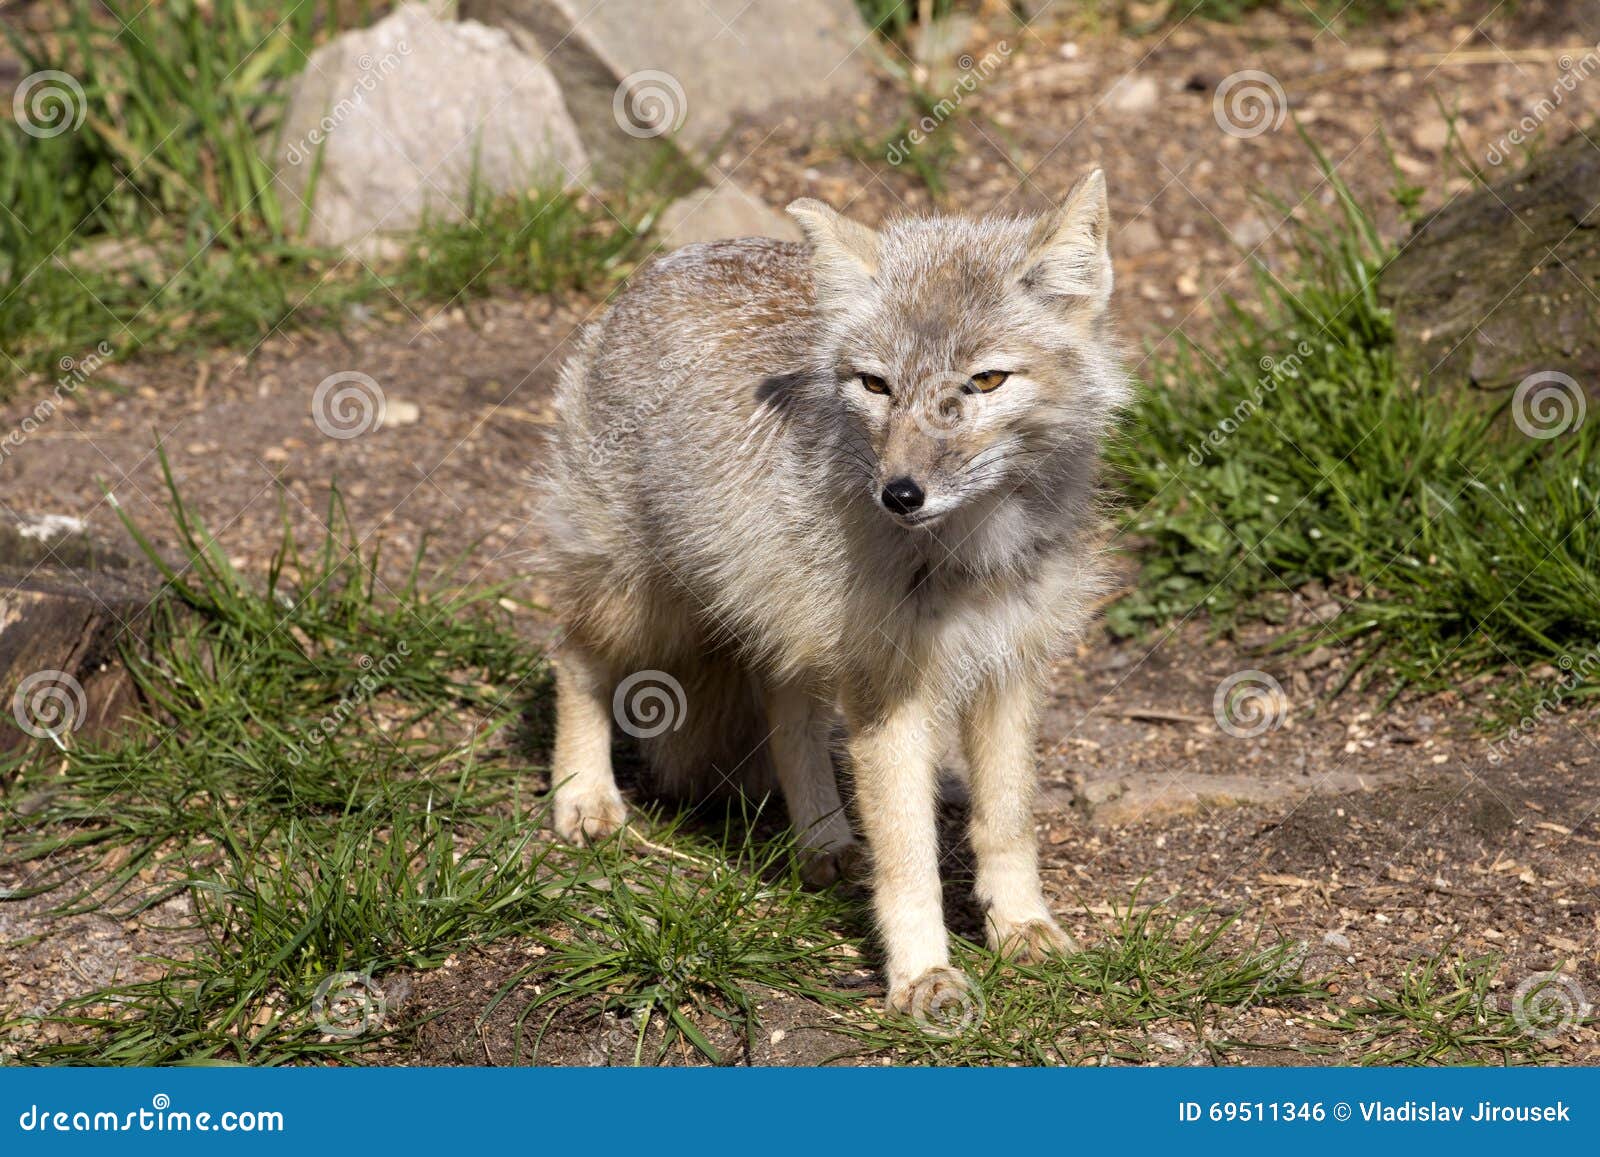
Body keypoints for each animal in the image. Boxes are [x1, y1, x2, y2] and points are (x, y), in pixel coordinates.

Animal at [534, 170, 1127, 1014]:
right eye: (877, 385)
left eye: (984, 380)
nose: (900, 494)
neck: (971, 554)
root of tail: (658, 268)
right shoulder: (890, 691)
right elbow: (908, 852)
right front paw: (922, 974)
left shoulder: (1011, 668)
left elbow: (1007, 820)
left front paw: (1020, 925)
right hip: (642, 606)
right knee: (570, 653)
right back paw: (584, 795)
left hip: (786, 622)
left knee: (786, 714)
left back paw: (823, 837)